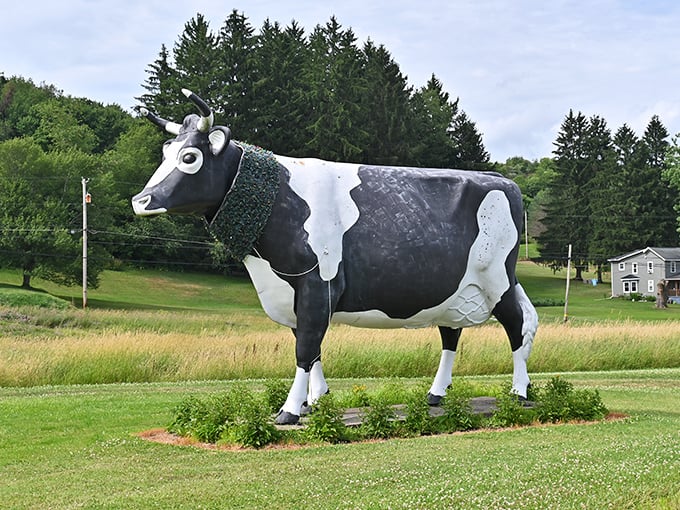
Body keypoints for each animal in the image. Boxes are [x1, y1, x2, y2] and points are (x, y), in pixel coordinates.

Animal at [132, 89, 538, 425]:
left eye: (190, 157)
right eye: (164, 153)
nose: (141, 200)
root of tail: (502, 180)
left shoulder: (317, 284)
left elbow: (305, 348)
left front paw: (290, 410)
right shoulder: (293, 291)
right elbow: (311, 349)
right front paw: (316, 401)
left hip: (497, 280)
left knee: (518, 325)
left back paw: (518, 393)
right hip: (456, 290)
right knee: (455, 333)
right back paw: (437, 395)